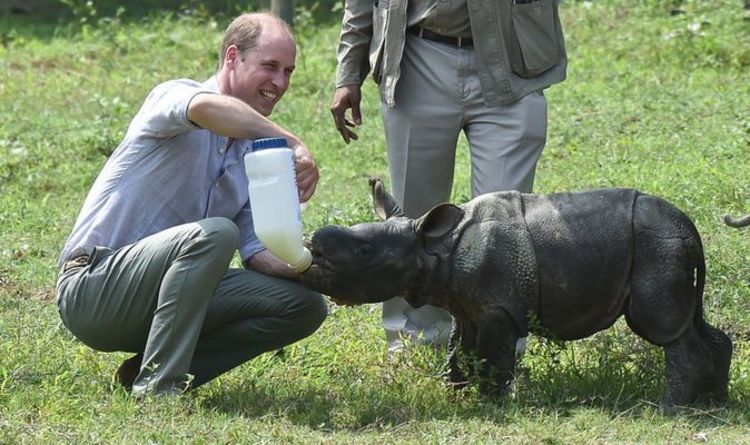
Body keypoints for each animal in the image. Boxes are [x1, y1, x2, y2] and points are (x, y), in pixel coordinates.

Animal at [302, 178, 732, 406]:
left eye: (364, 252)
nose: (313, 245)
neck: (433, 247)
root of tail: (689, 227)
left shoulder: (498, 307)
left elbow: (491, 356)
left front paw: (490, 403)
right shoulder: (465, 304)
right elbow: (459, 349)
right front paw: (454, 394)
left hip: (655, 246)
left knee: (663, 328)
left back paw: (669, 408)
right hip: (665, 245)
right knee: (692, 322)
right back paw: (716, 401)